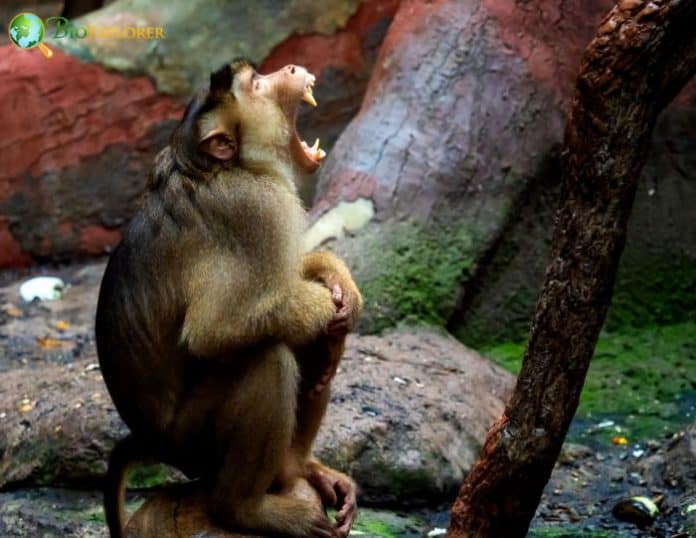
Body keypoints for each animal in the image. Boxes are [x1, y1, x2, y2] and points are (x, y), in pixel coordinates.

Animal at [96, 58, 362, 538]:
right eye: (256, 84)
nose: (290, 67)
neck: (226, 166)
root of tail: (150, 440)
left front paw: (336, 278)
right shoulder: (256, 206)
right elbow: (213, 331)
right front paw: (325, 305)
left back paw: (298, 469)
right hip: (192, 442)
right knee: (269, 357)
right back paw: (243, 509)